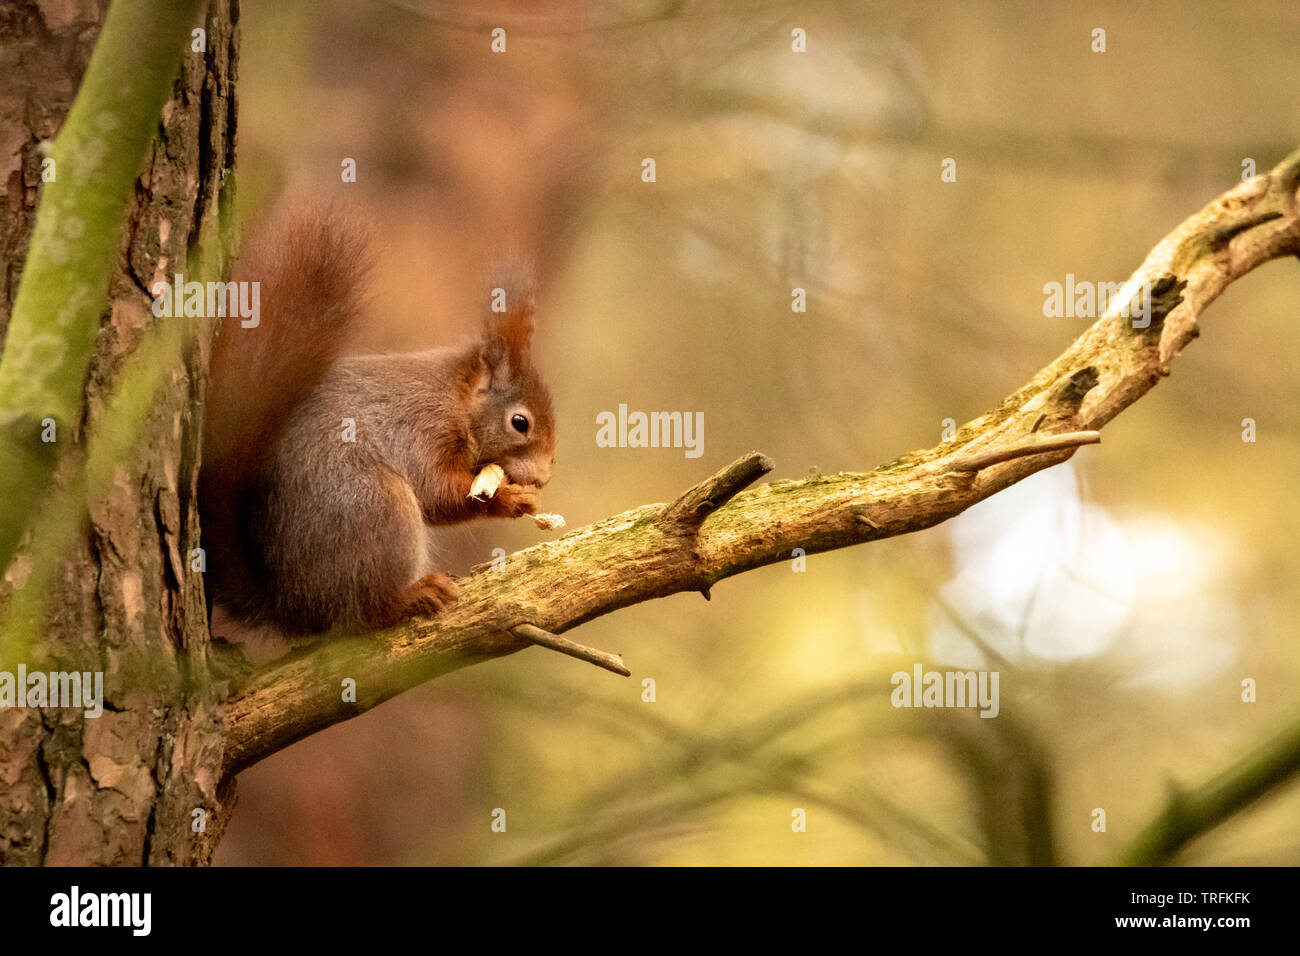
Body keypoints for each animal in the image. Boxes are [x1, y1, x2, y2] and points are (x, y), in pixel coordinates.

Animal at [198, 204, 556, 641]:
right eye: (520, 422)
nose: (543, 477)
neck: (455, 400)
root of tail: (293, 608)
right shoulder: (421, 430)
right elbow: (438, 493)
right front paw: (510, 498)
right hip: (377, 507)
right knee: (363, 609)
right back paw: (410, 597)